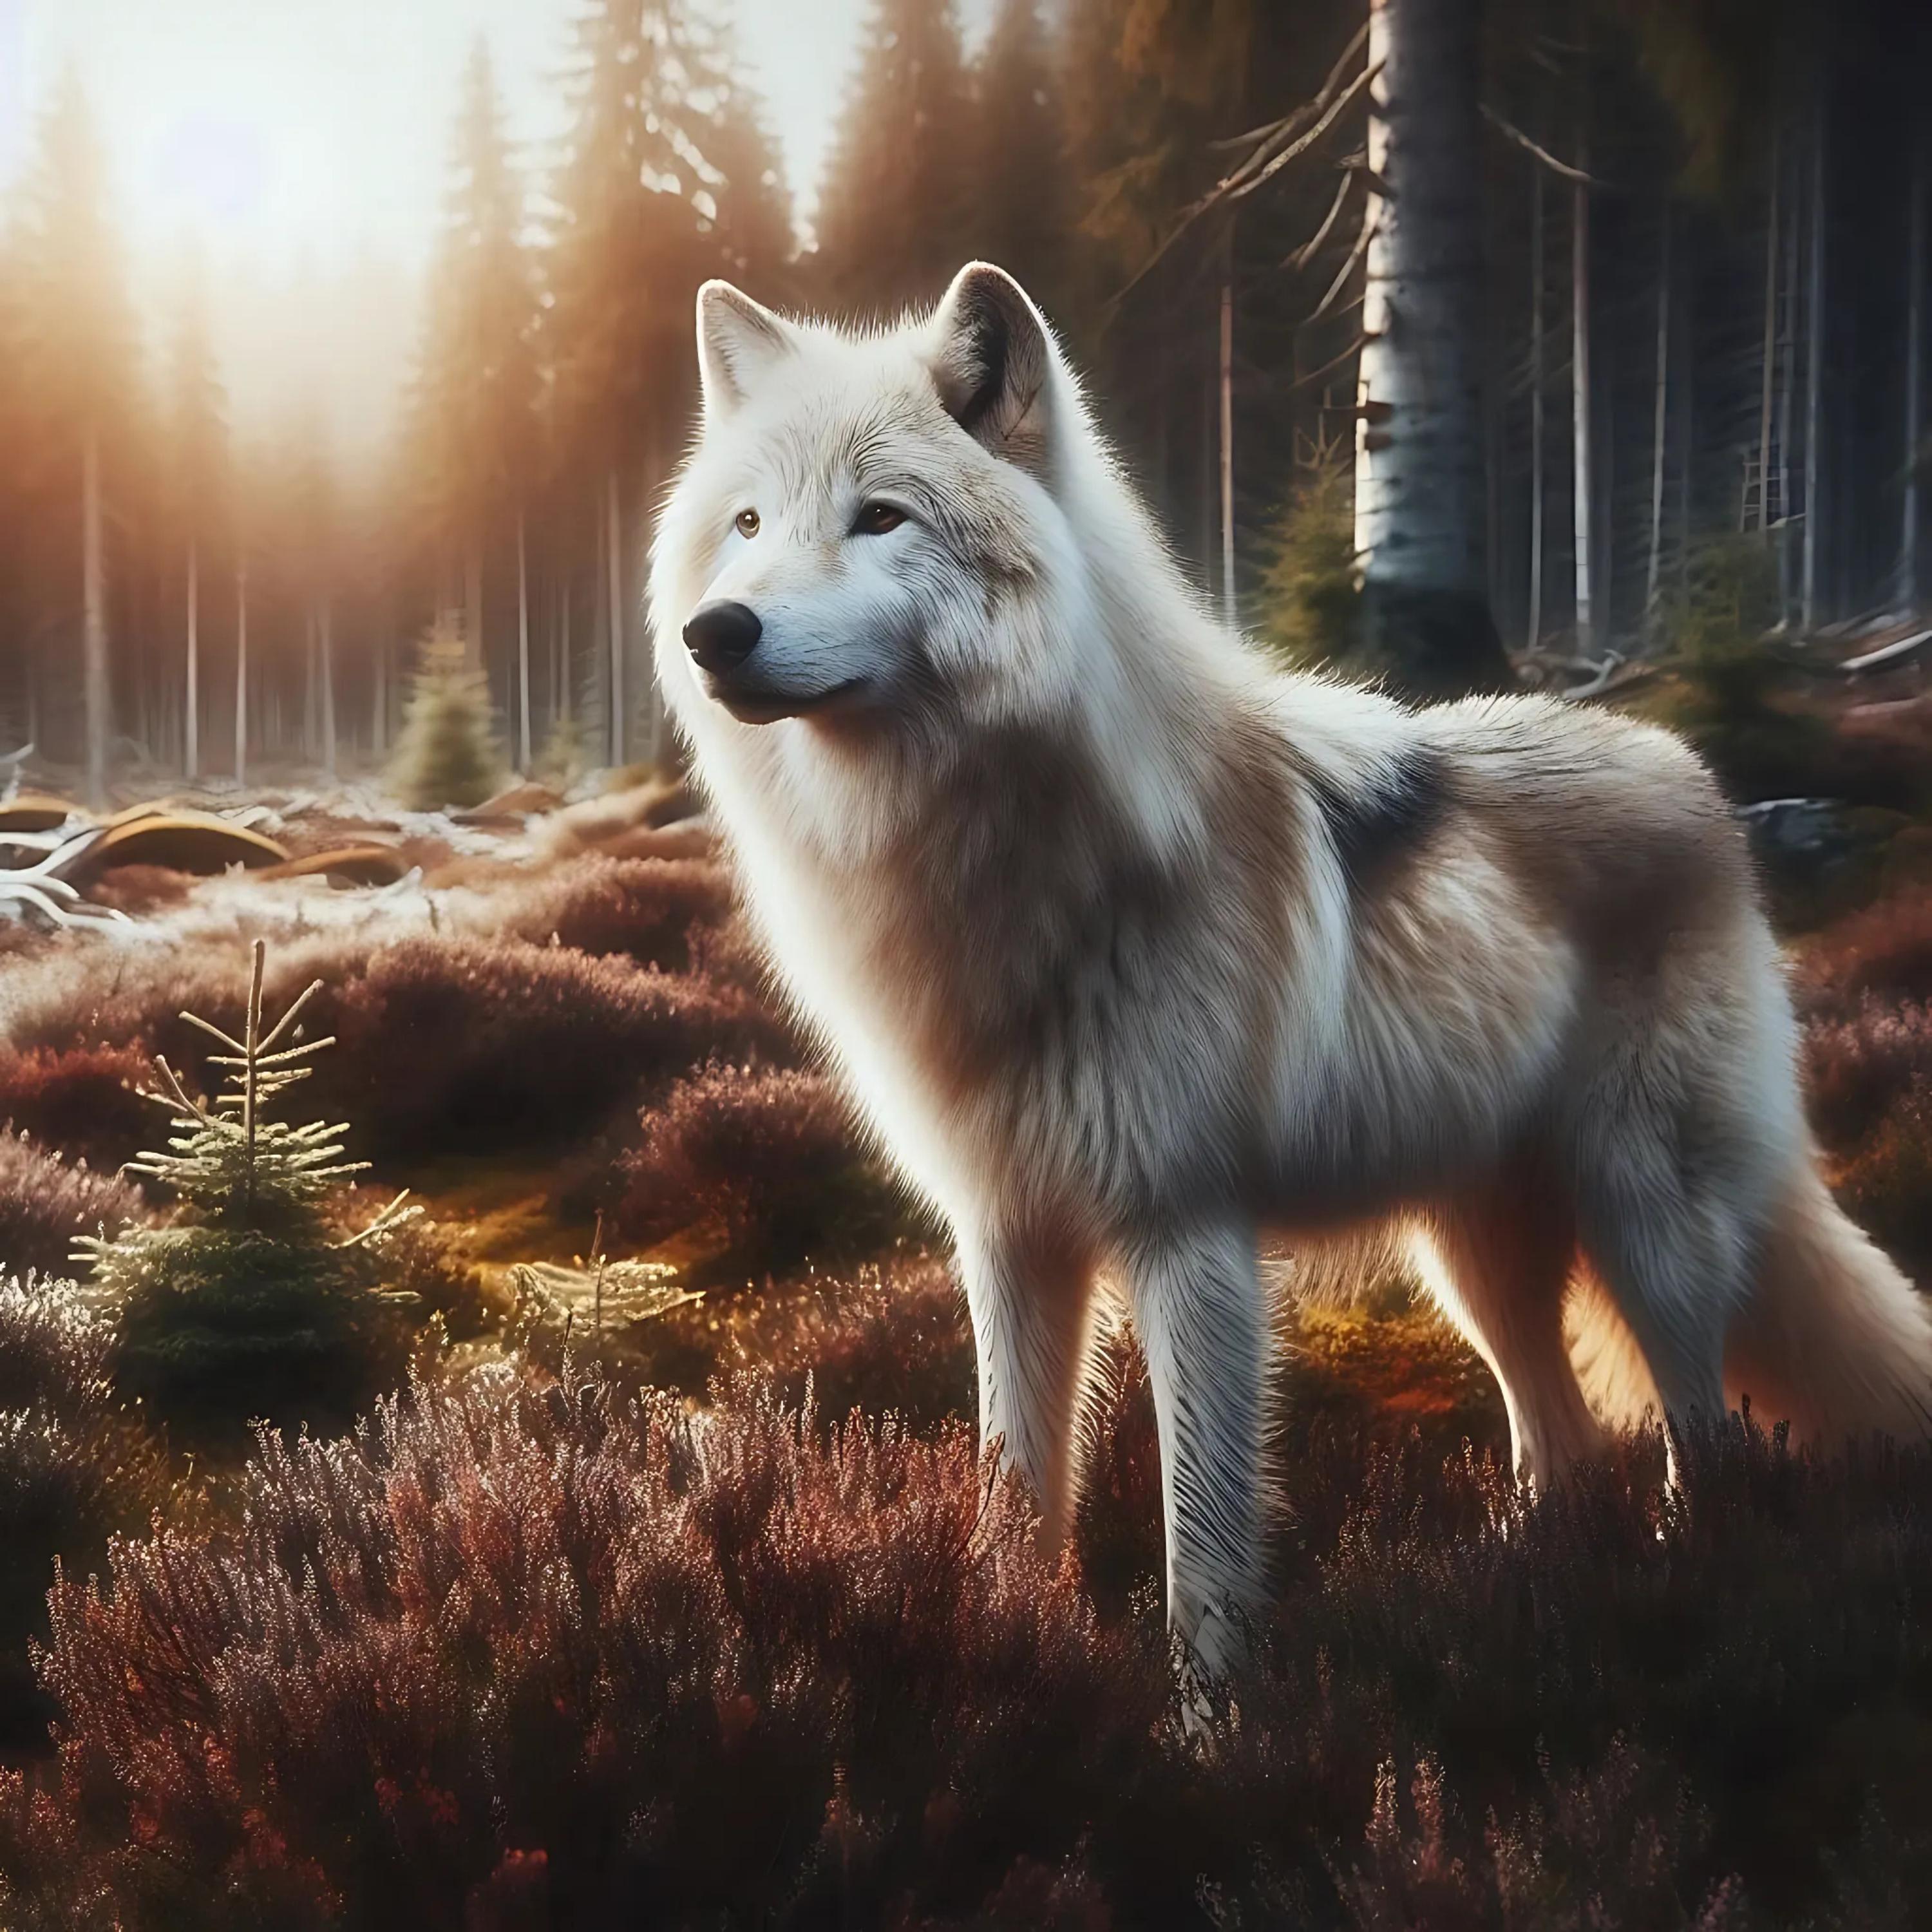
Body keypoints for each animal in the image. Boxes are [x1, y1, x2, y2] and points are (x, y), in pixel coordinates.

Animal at [649, 261, 1932, 1680]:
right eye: (748, 524)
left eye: (879, 518)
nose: (716, 632)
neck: (991, 867)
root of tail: (1686, 763)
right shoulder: (1010, 1238)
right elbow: (1013, 1498)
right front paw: (1008, 1663)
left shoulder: (1188, 1234)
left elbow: (1203, 1550)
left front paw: (1212, 1725)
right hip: (1475, 1262)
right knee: (1562, 1443)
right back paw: (1531, 1594)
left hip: (1646, 1224)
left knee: (1699, 1438)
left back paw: (1685, 1595)